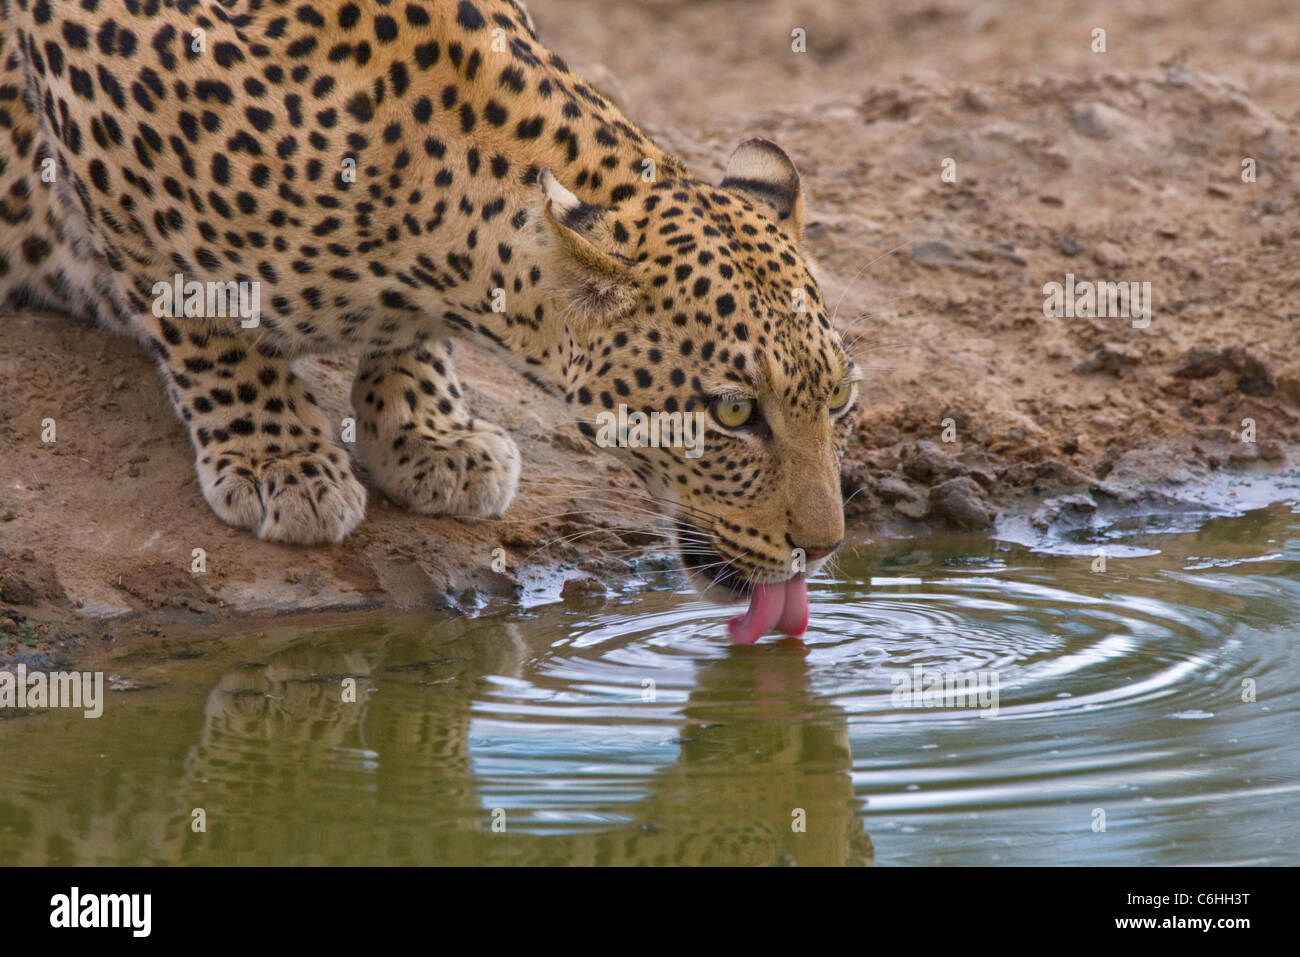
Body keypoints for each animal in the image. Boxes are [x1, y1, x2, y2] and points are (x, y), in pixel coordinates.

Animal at [0, 0, 859, 621]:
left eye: (840, 398)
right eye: (733, 411)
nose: (822, 550)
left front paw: (429, 431)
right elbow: (195, 306)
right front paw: (280, 459)